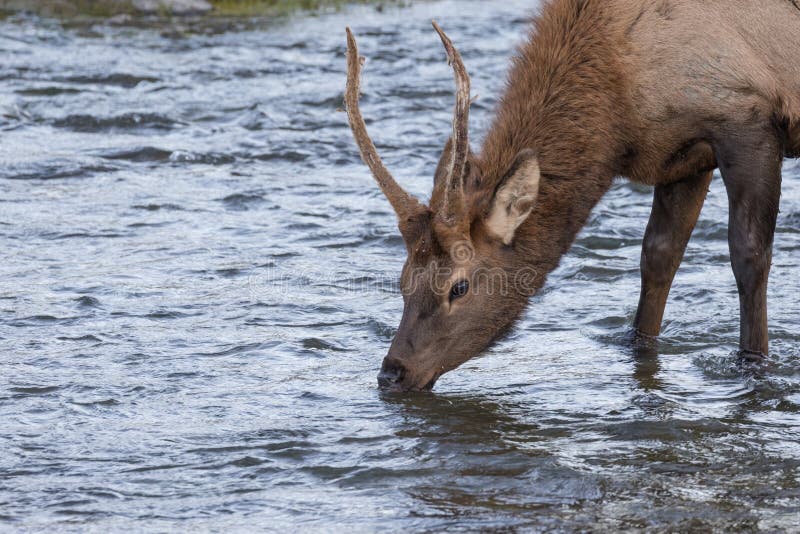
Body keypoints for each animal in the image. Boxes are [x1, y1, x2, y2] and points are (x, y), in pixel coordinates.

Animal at [344, 0, 800, 392]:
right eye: (403, 280)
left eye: (459, 287)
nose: (392, 373)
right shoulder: (683, 156)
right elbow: (658, 257)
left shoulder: (747, 121)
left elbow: (749, 257)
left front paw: (754, 366)